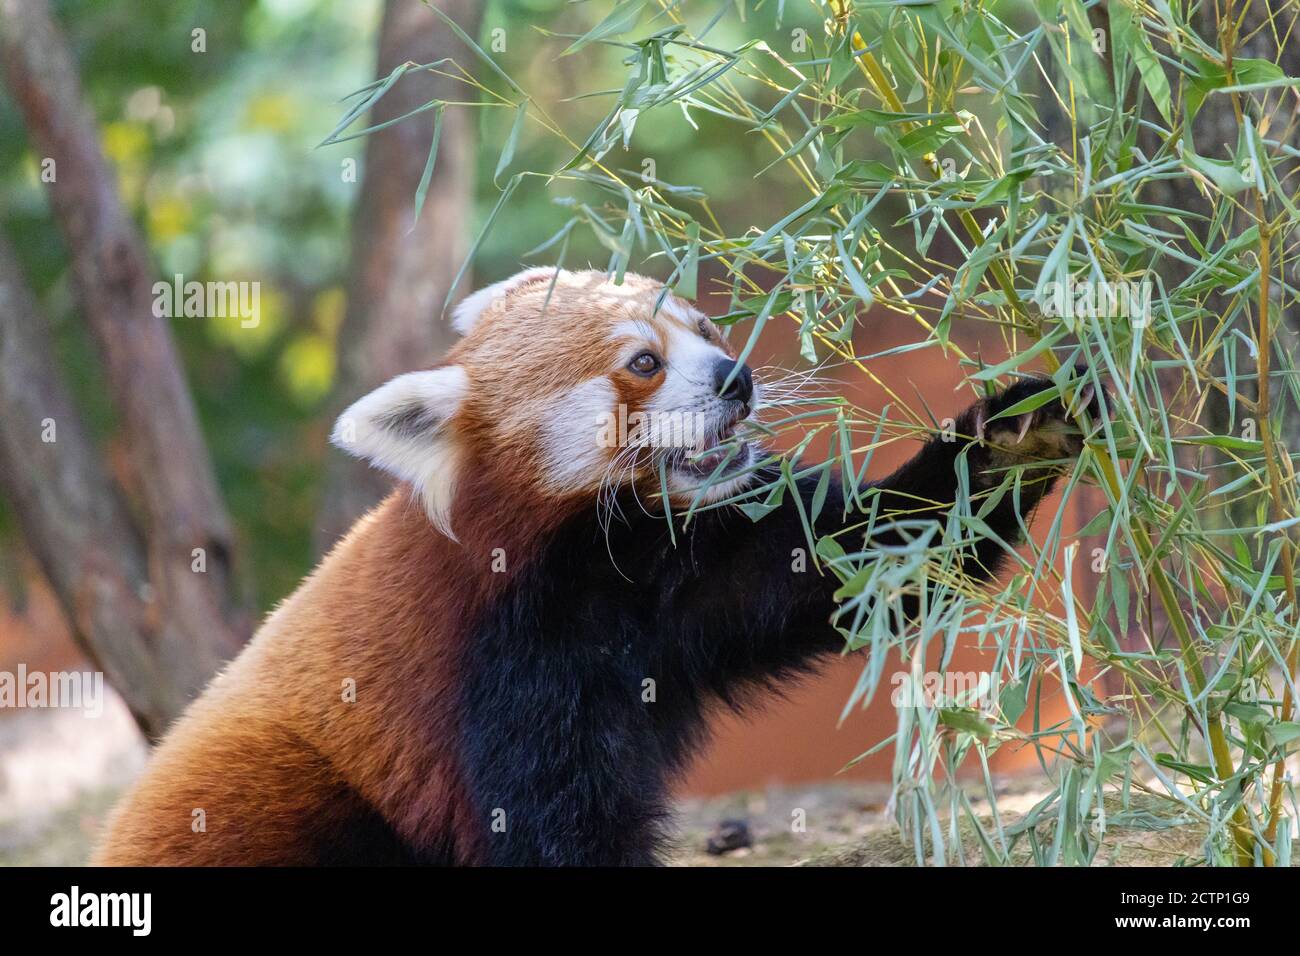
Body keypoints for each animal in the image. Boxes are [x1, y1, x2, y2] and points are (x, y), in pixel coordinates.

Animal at [94, 268, 1098, 865]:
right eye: (644, 362)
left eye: (708, 327)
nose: (737, 378)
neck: (600, 563)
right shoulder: (499, 665)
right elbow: (556, 823)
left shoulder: (691, 579)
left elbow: (857, 557)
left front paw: (1020, 429)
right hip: (276, 797)